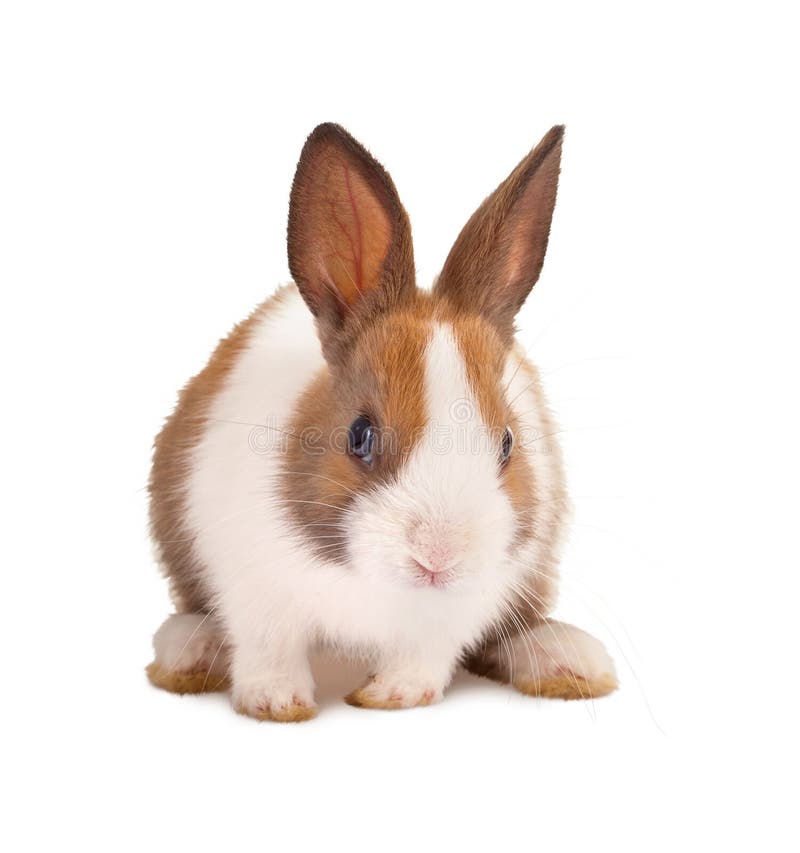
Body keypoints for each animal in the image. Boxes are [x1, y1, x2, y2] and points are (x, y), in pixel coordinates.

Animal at [146, 122, 618, 722]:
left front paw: (394, 694)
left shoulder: (460, 610)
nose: (438, 558)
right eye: (360, 435)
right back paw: (190, 653)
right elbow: (268, 649)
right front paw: (276, 703)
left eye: (508, 442)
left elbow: (425, 655)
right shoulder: (252, 588)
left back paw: (565, 659)